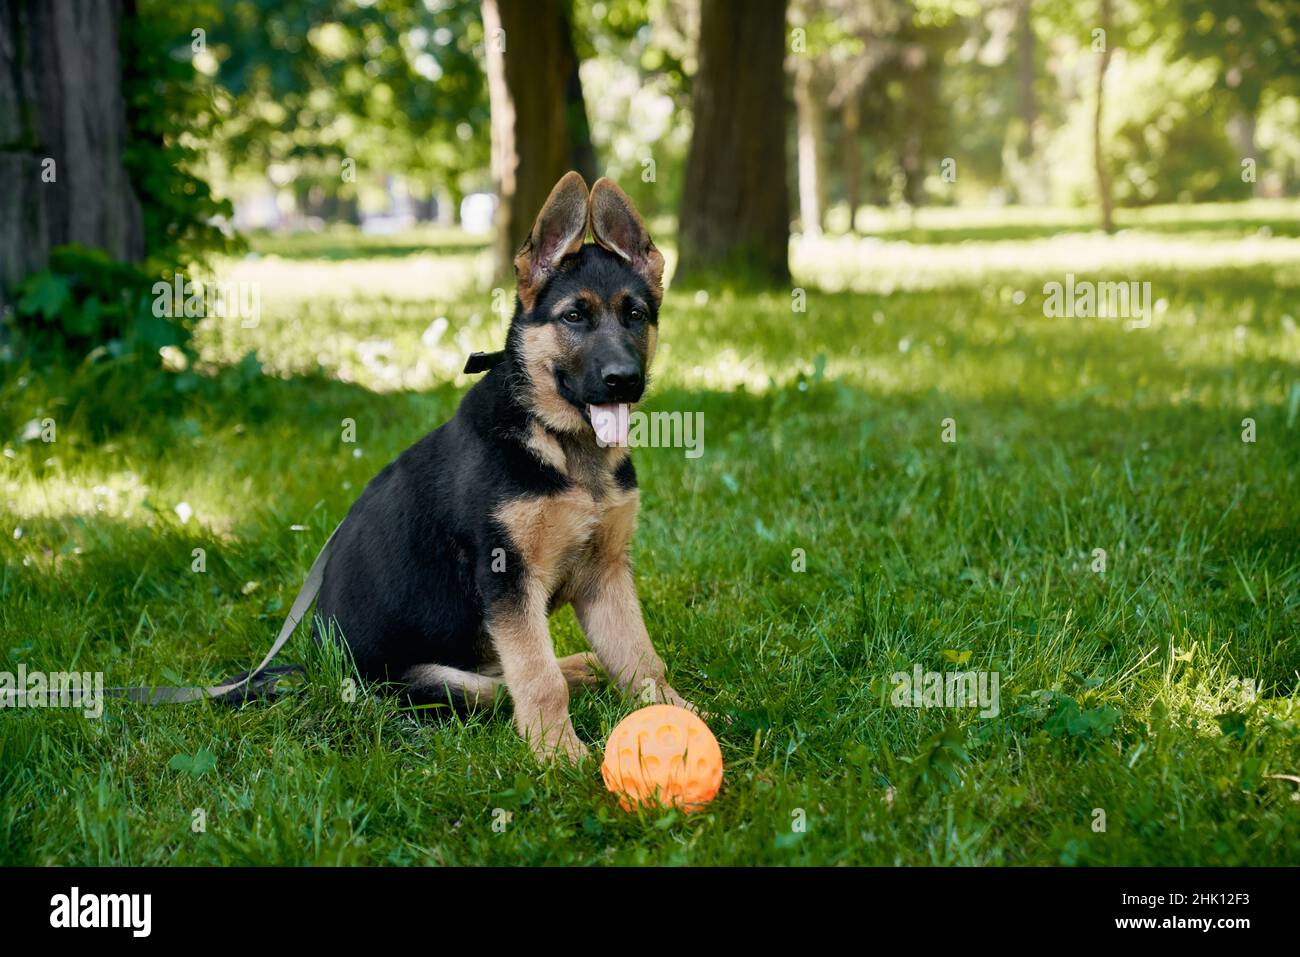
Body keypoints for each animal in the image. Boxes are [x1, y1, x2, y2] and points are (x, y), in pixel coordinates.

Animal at [314, 167, 691, 759]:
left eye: (636, 315)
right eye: (574, 316)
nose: (623, 380)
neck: (560, 442)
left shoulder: (606, 574)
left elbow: (640, 657)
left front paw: (680, 716)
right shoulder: (507, 577)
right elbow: (537, 677)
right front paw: (560, 756)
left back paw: (586, 666)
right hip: (422, 683)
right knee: (498, 687)